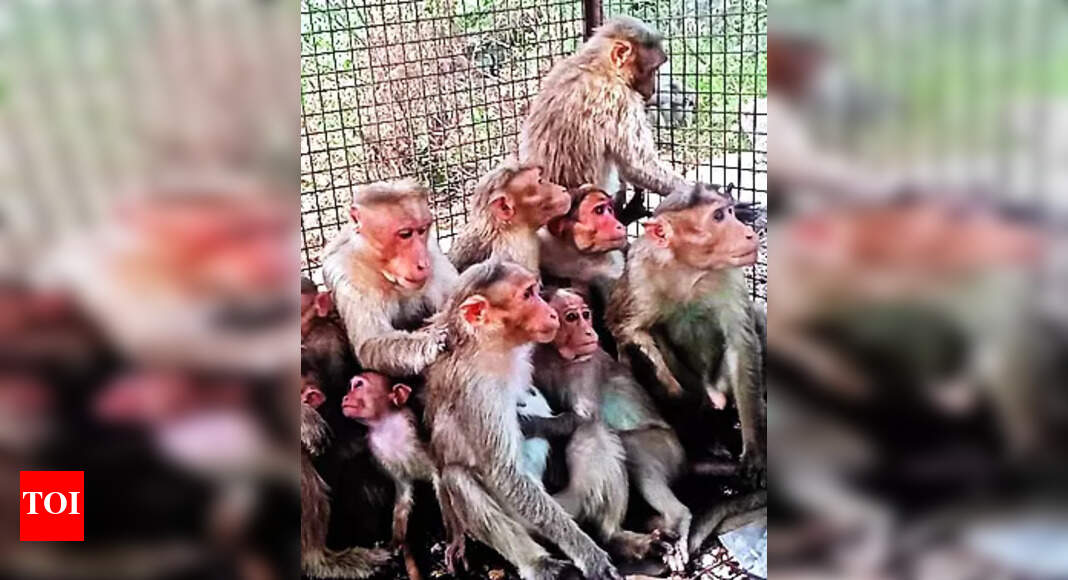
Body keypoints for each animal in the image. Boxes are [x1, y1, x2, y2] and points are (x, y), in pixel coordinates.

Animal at [321, 179, 458, 377]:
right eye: (405, 234)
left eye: (422, 230)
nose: (423, 263)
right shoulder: (346, 272)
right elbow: (370, 344)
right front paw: (434, 338)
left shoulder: (432, 249)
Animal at [423, 259, 622, 580]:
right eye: (528, 295)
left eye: (536, 291)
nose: (550, 311)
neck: (492, 348)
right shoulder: (479, 392)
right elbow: (502, 472)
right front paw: (587, 554)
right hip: (527, 521)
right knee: (458, 477)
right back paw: (538, 563)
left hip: (568, 504)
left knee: (594, 432)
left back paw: (616, 535)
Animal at [608, 183, 766, 483]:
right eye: (718, 217)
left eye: (728, 212)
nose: (748, 233)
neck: (687, 270)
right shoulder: (639, 276)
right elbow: (624, 328)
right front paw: (655, 374)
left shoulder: (729, 275)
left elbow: (741, 345)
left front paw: (754, 450)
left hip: (719, 385)